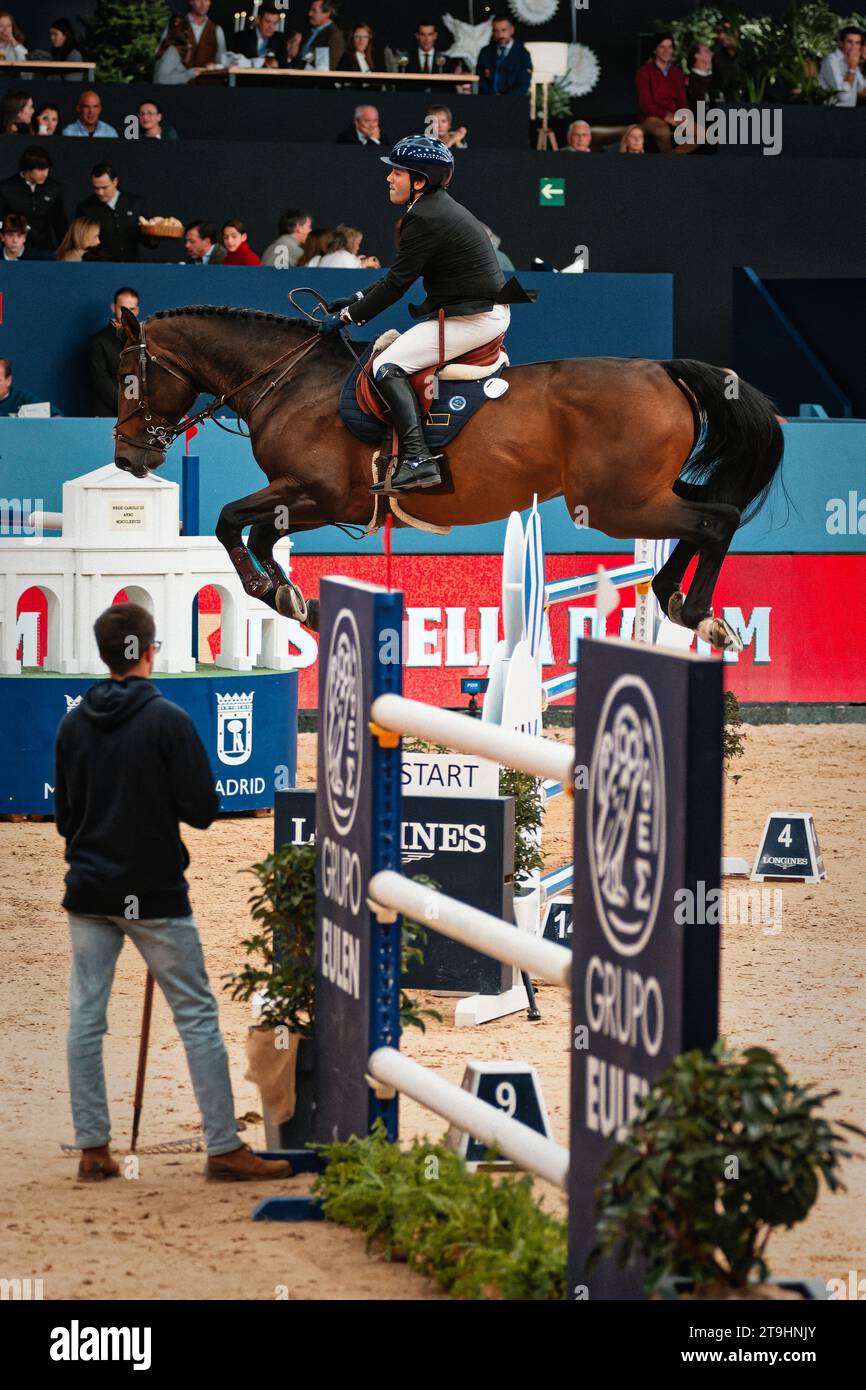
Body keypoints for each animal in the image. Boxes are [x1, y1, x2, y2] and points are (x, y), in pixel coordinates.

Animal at [112, 302, 784, 649]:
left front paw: (280, 594)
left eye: (127, 379)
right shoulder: (316, 502)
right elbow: (257, 535)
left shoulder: (317, 494)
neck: (289, 380)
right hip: (640, 496)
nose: (128, 459)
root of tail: (663, 369)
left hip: (616, 505)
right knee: (703, 519)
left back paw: (700, 613)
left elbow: (231, 523)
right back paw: (674, 598)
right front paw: (296, 601)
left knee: (716, 519)